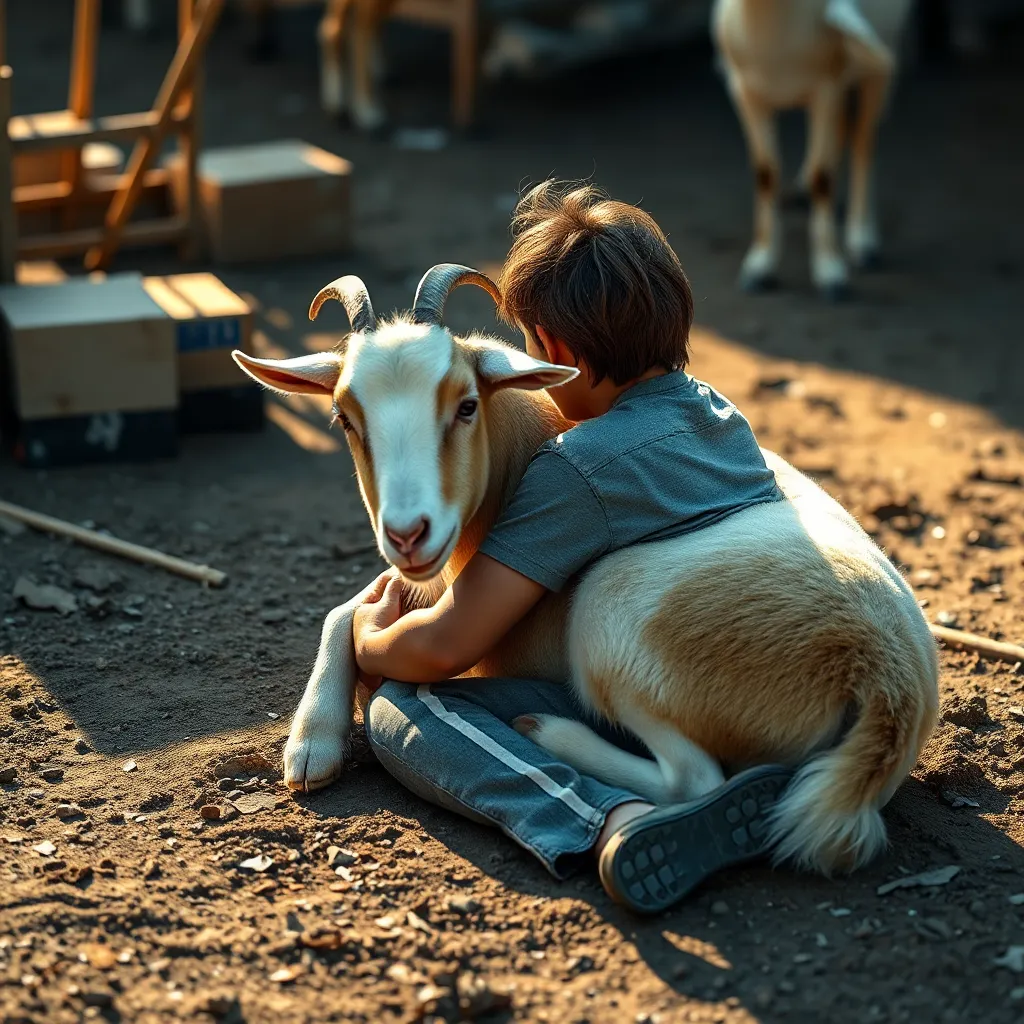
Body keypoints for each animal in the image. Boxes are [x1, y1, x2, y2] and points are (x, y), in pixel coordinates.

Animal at [232, 264, 939, 876]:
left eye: (466, 405)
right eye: (344, 418)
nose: (409, 535)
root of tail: (884, 678)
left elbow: (377, 627)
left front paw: (314, 741)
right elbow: (346, 610)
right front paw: (312, 745)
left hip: (610, 613)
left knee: (694, 778)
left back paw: (556, 737)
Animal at [713, 0, 914, 297]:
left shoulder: (827, 88)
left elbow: (823, 177)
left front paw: (831, 274)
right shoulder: (744, 91)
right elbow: (765, 173)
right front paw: (759, 268)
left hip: (879, 67)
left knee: (863, 141)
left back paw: (863, 242)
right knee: (843, 131)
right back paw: (801, 191)